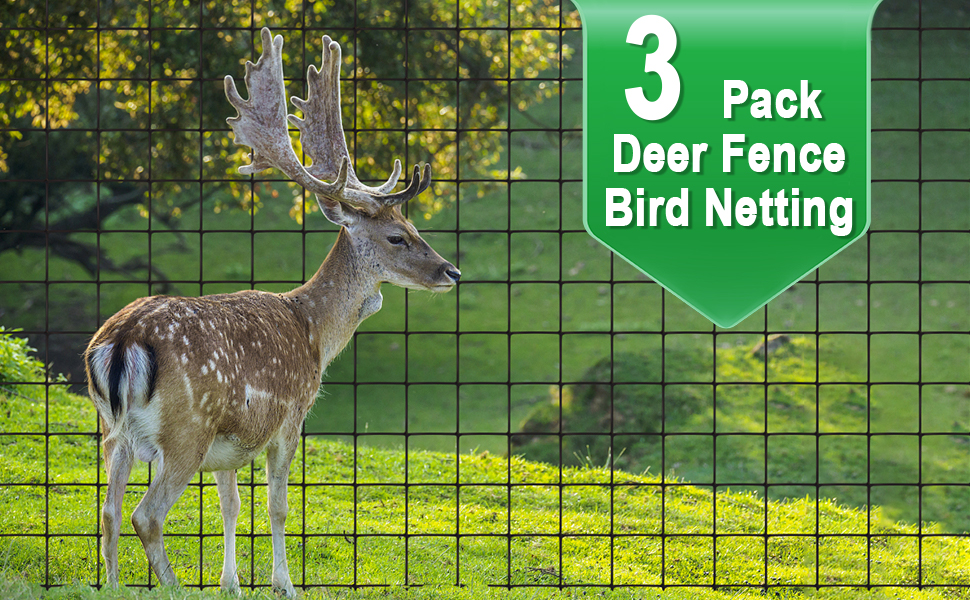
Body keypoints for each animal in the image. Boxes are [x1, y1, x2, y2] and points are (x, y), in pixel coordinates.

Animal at [84, 28, 460, 596]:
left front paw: (232, 584)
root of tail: (124, 340)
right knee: (145, 515)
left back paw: (113, 585)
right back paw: (171, 584)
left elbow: (231, 507)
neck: (314, 334)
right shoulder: (290, 417)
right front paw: (285, 584)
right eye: (398, 236)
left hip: (114, 429)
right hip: (184, 428)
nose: (450, 272)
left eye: (415, 229)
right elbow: (278, 507)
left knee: (106, 511)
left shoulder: (230, 445)